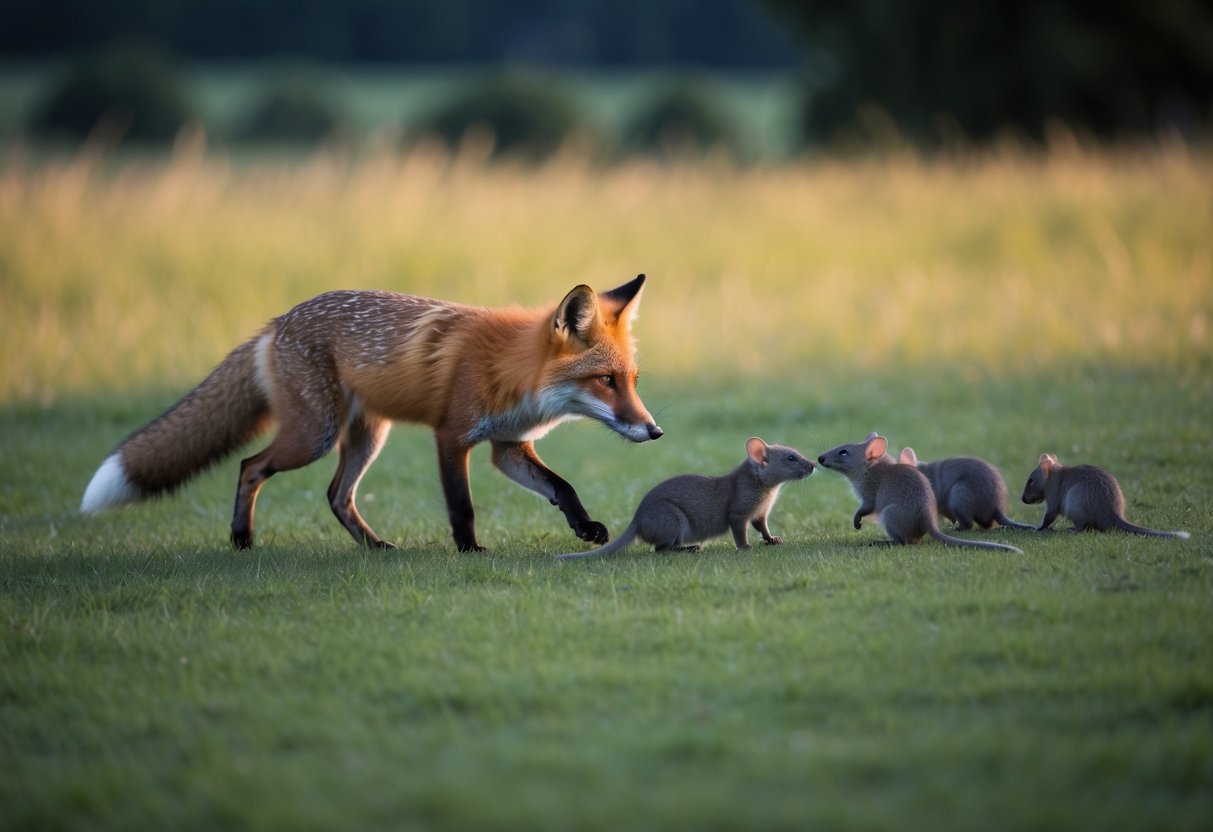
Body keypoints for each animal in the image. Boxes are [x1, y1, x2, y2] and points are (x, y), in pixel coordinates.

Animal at [81, 274, 663, 552]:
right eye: (605, 380)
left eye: (632, 381)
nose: (655, 431)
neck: (513, 373)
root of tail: (276, 322)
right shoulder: (451, 437)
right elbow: (463, 506)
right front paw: (470, 551)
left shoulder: (507, 447)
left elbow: (562, 486)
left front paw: (585, 527)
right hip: (313, 436)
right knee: (250, 467)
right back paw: (241, 539)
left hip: (366, 436)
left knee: (336, 495)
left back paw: (376, 546)